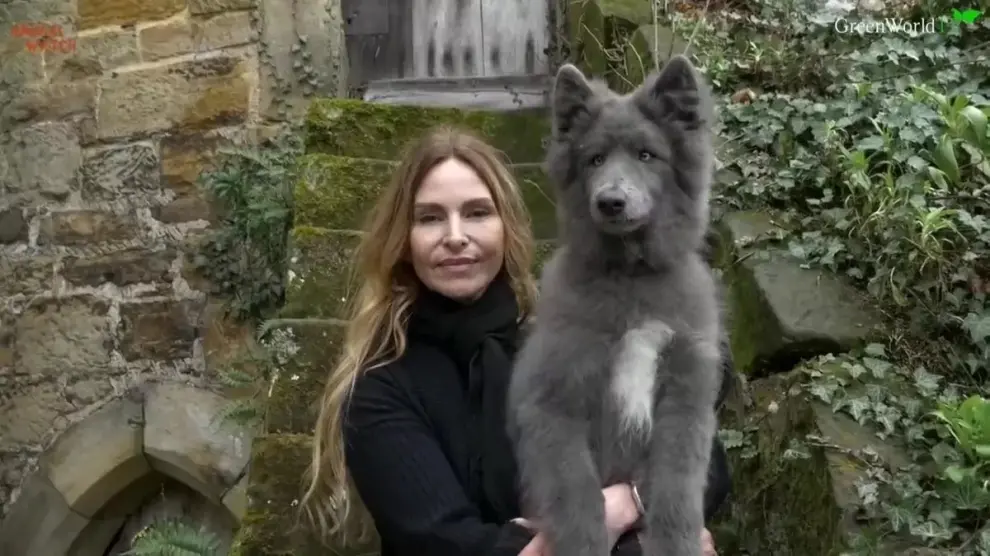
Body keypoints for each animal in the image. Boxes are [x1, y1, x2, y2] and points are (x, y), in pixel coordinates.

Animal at [506, 56, 723, 556]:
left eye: (646, 155)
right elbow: (576, 492)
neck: (630, 280)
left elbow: (677, 487)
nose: (611, 202)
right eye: (595, 159)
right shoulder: (554, 399)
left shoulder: (686, 396)